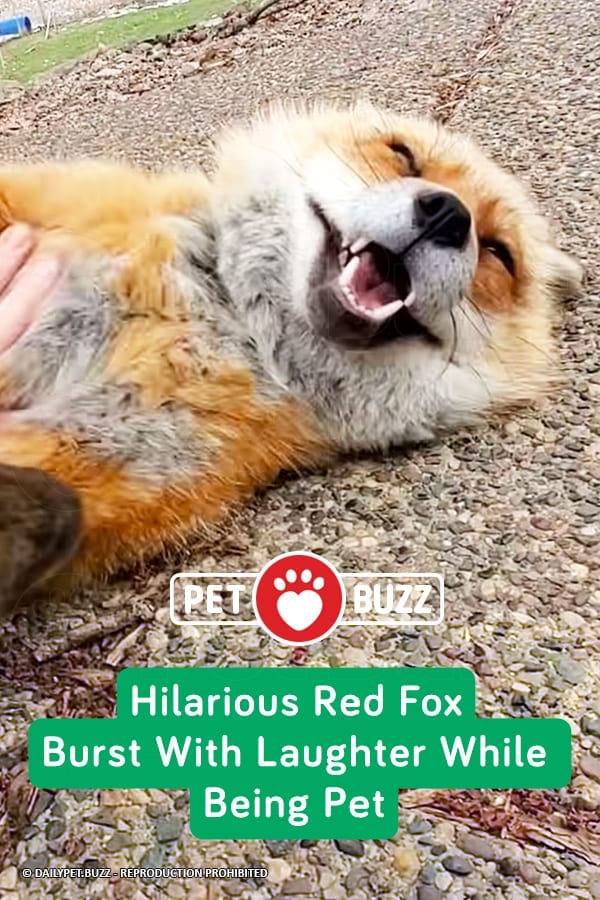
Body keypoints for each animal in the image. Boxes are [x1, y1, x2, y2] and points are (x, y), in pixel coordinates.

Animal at [0, 102, 582, 611]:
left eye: (499, 254)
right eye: (403, 156)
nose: (448, 216)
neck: (220, 311)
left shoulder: (115, 462)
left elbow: (59, 509)